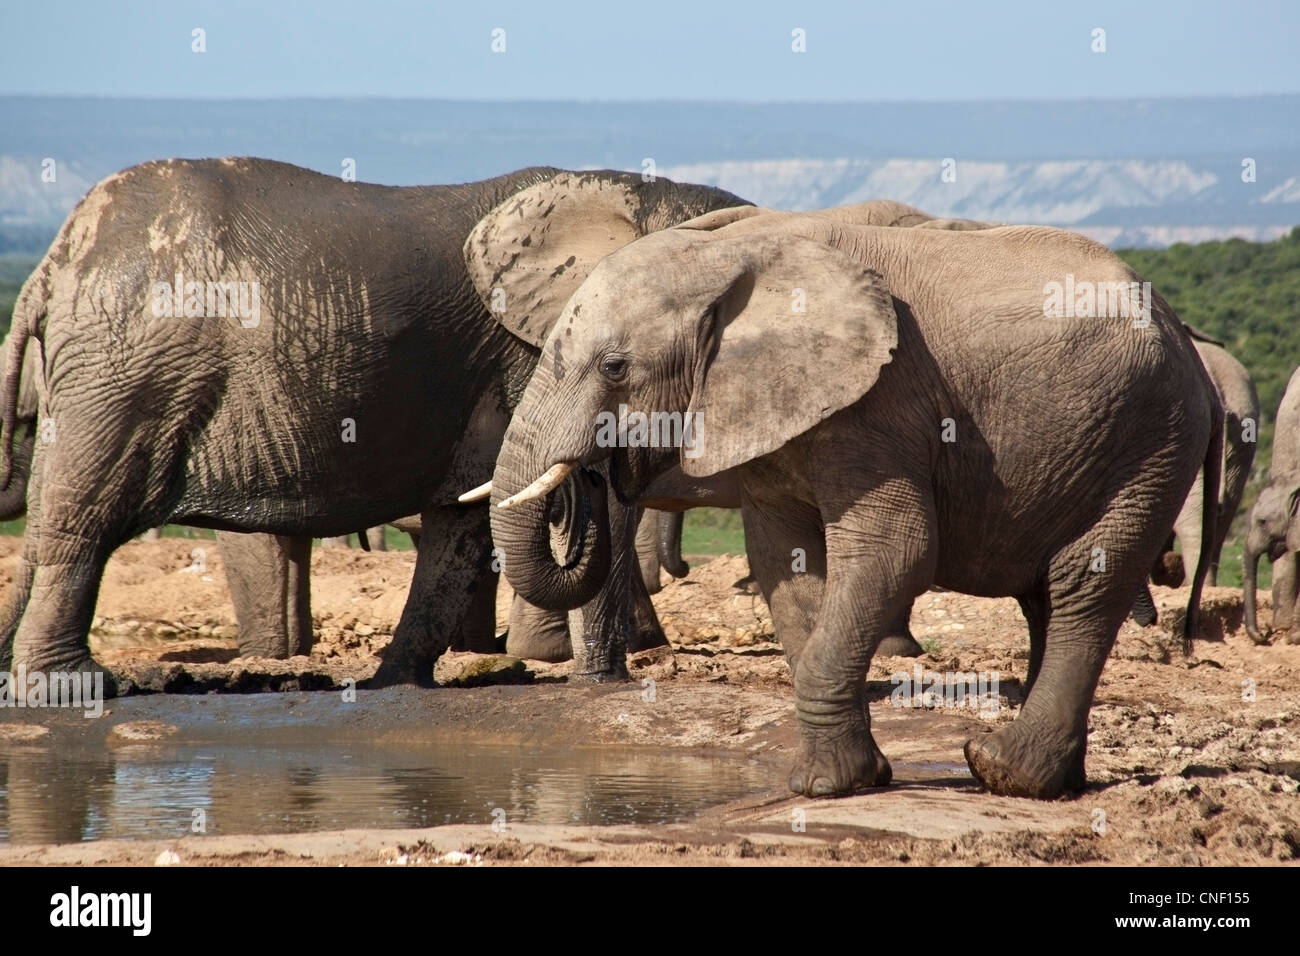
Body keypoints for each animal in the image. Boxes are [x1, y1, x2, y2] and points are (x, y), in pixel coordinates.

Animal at [0, 158, 747, 691]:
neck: (639, 190)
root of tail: (55, 264)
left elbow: (464, 525)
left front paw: (401, 685)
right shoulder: (538, 356)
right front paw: (600, 683)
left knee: (51, 522)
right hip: (126, 374)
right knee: (83, 515)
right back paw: (75, 684)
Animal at [482, 202, 1221, 799]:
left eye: (614, 368)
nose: (594, 475)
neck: (734, 256)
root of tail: (1187, 340)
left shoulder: (878, 406)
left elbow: (895, 552)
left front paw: (822, 789)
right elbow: (785, 564)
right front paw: (848, 780)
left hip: (1151, 438)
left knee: (1082, 582)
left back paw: (1004, 773)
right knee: (1046, 594)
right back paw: (1047, 778)